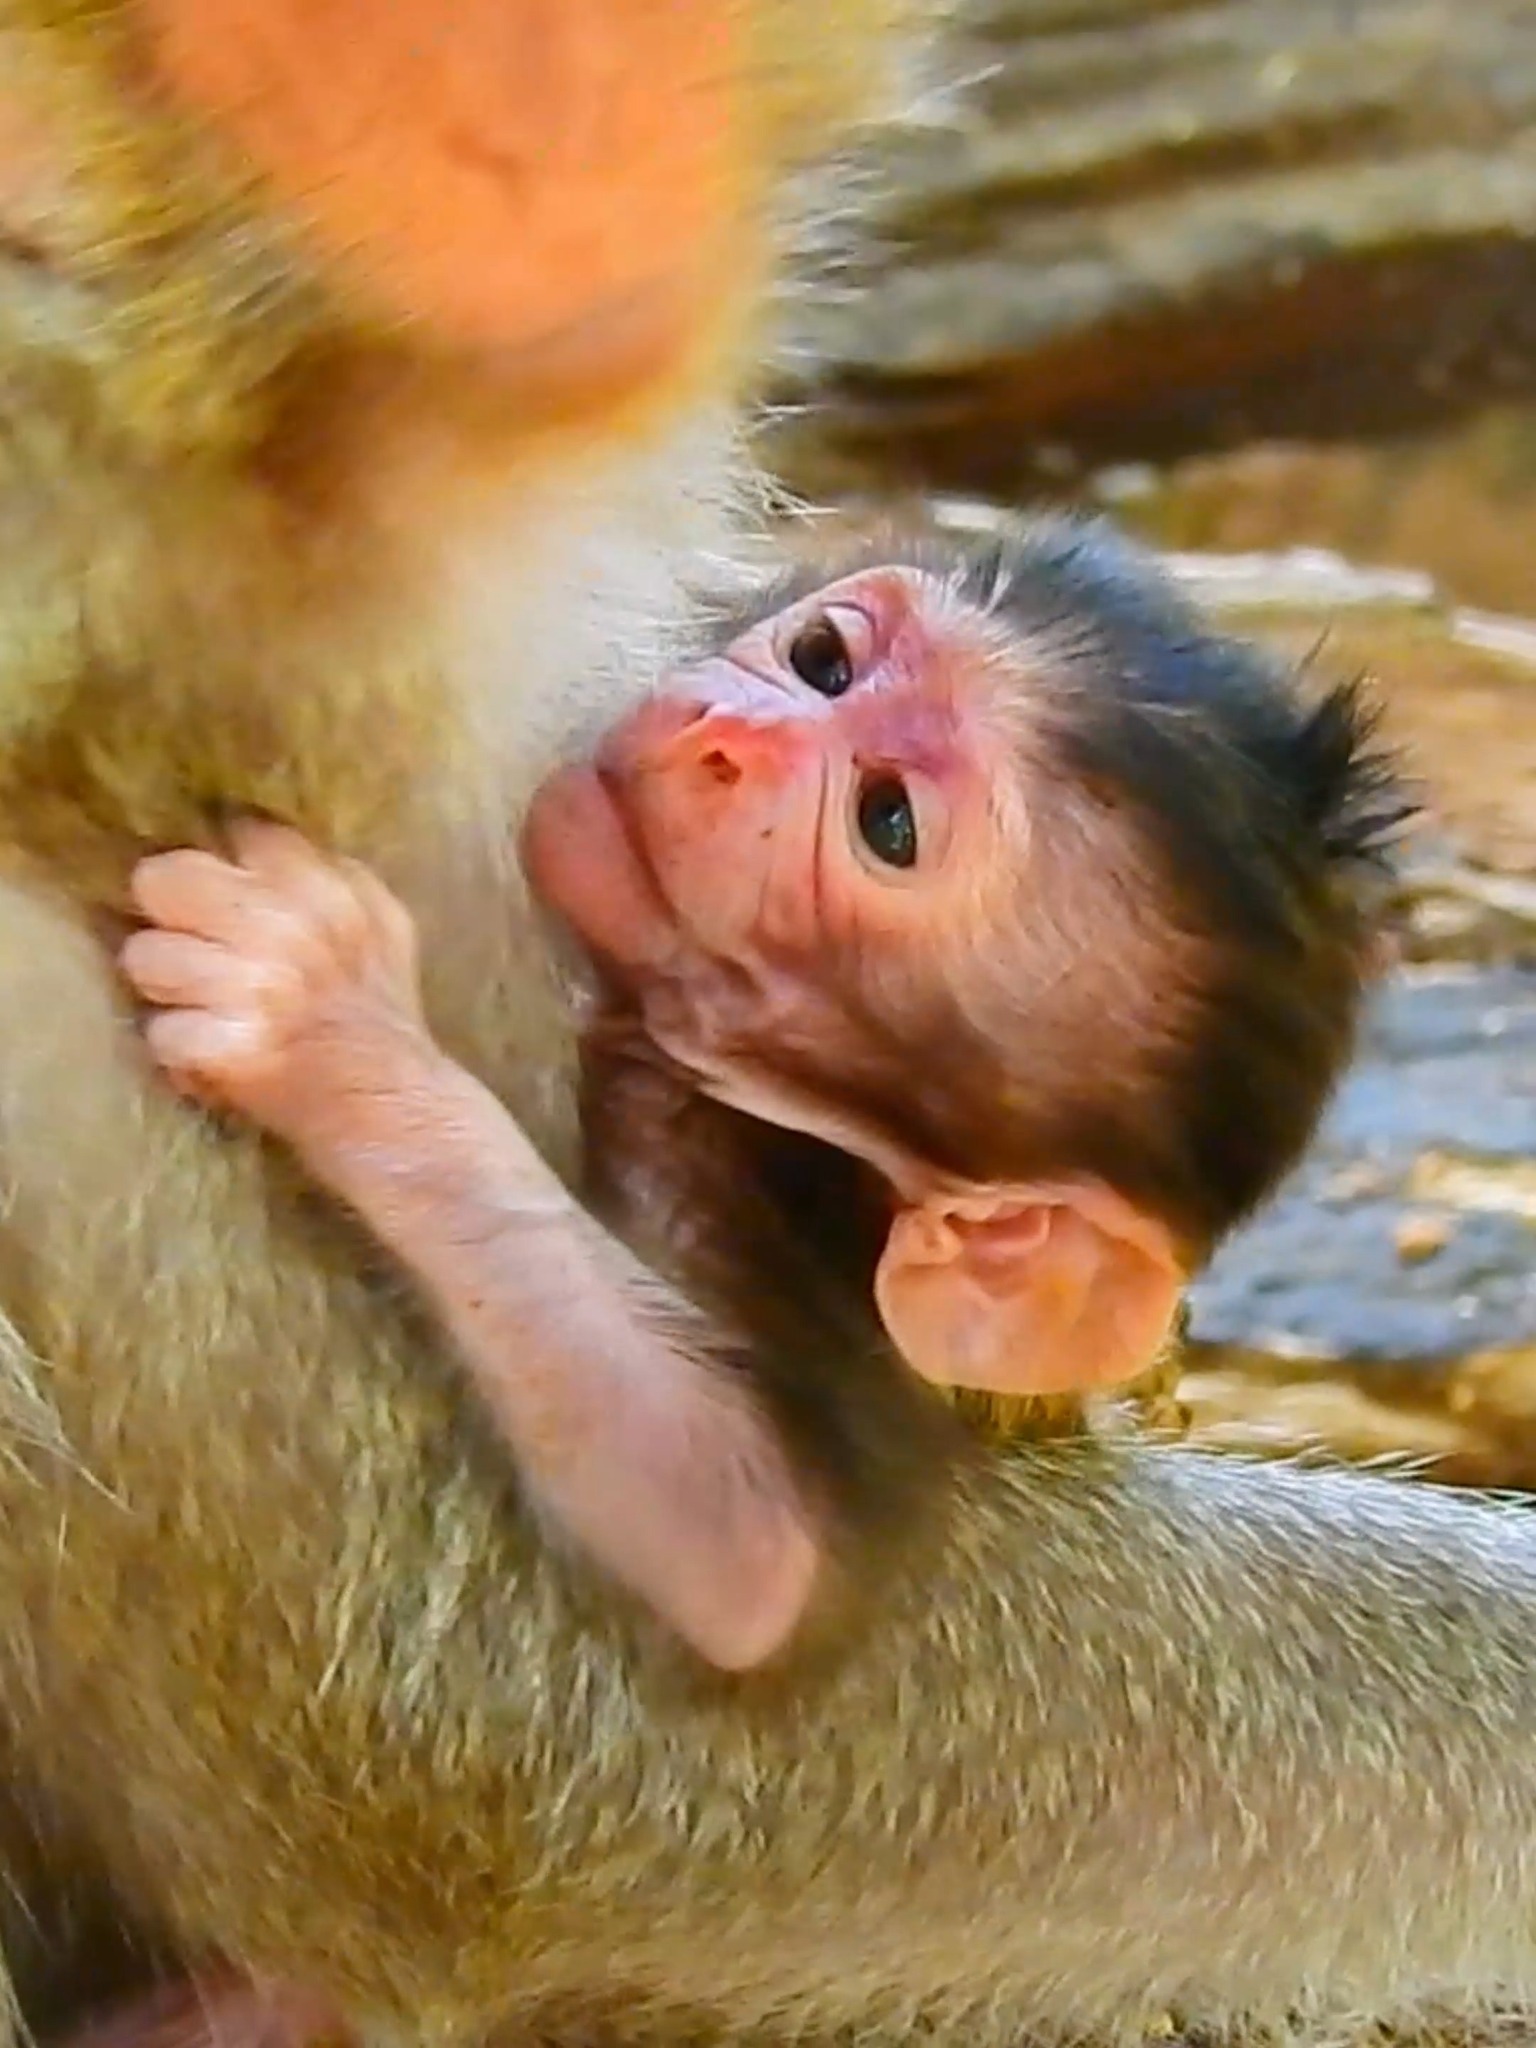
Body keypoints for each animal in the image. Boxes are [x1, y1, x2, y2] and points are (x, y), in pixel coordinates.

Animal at [117, 521, 1407, 1677]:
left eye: (887, 821)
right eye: (824, 660)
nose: (729, 733)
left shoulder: (738, 1190)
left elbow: (740, 1539)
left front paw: (328, 1018)